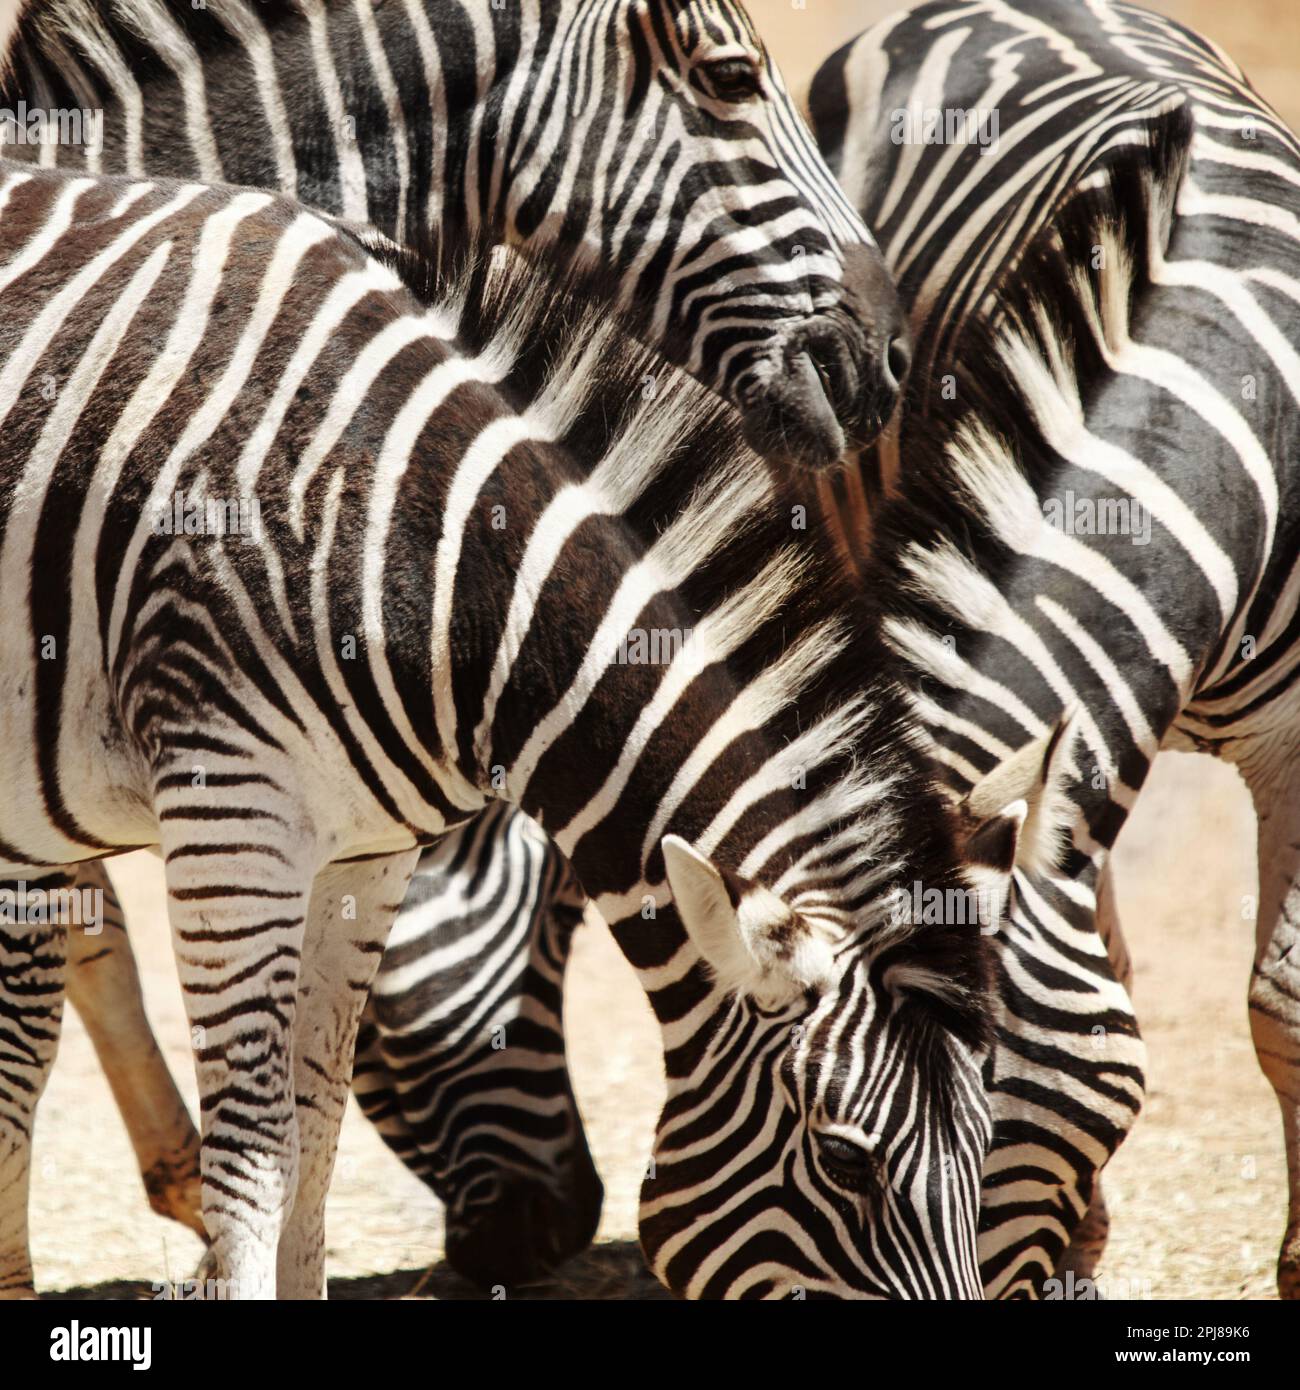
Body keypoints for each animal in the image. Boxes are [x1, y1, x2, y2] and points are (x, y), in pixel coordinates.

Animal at [0, 162, 1044, 1299]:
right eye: (847, 1162)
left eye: (988, 1139)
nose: (542, 1234)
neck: (424, 550)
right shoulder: (231, 820)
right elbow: (253, 1168)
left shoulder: (364, 853)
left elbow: (313, 1135)